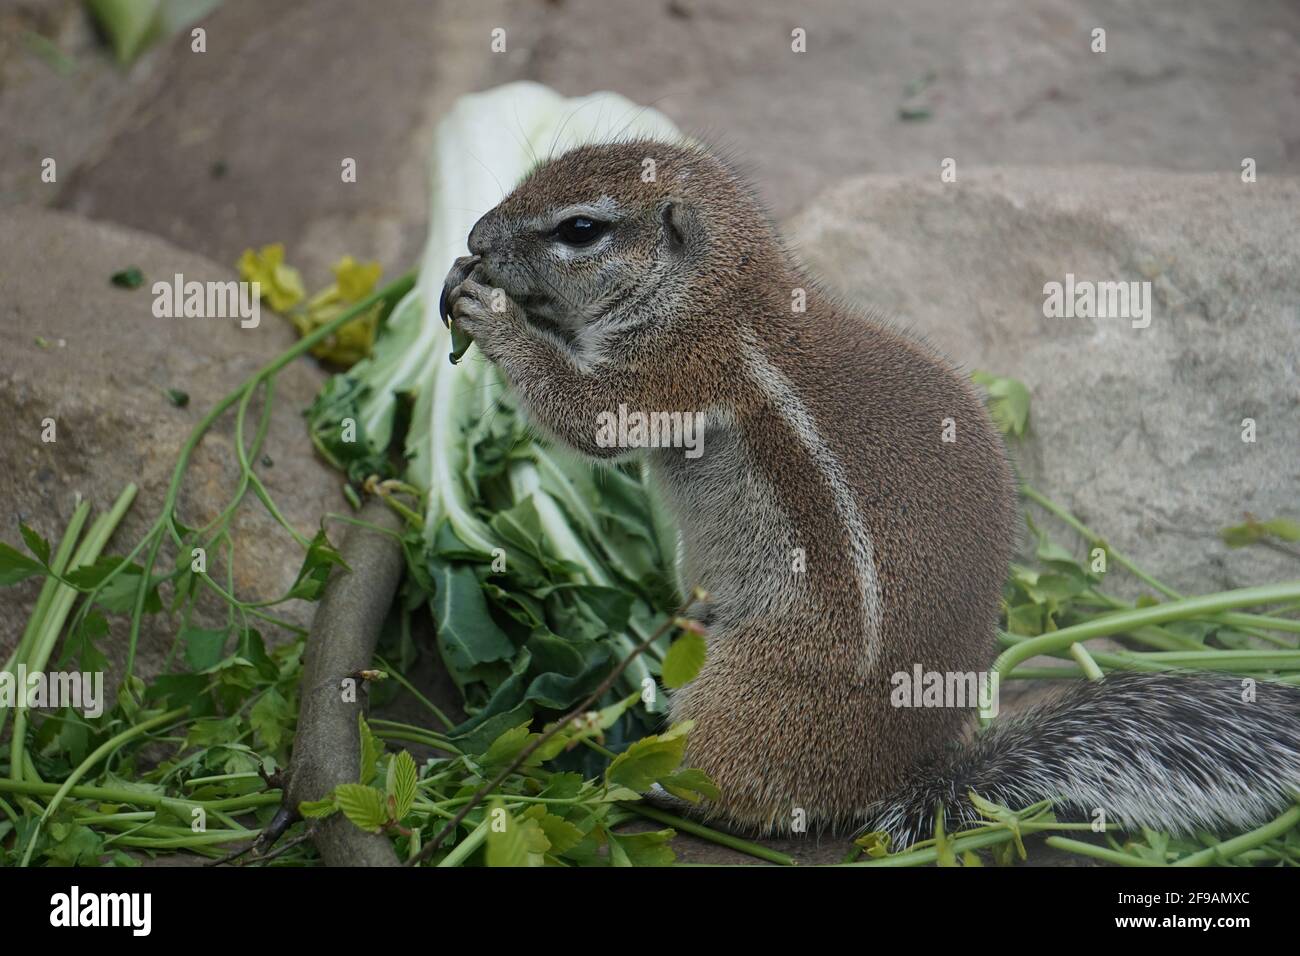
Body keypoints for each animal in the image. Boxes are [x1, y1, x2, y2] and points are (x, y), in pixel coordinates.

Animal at [441, 139, 1300, 849]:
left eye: (581, 229)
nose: (475, 237)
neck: (719, 294)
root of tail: (914, 779)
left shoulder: (677, 367)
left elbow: (590, 418)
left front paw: (494, 316)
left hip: (747, 693)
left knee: (733, 788)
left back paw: (629, 781)